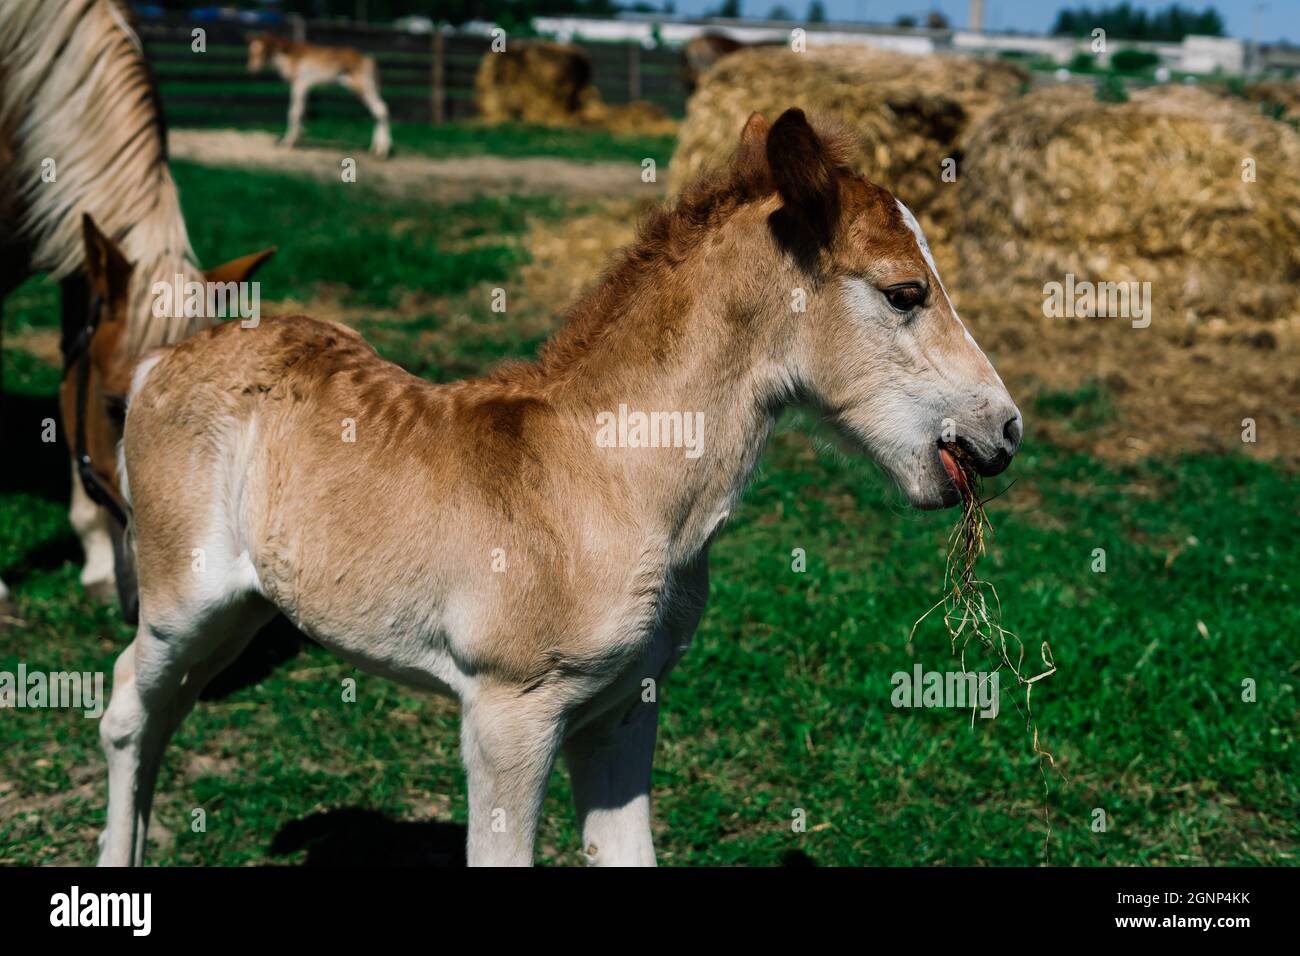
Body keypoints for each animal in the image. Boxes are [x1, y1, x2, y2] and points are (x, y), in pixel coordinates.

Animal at [97, 109, 1022, 866]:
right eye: (904, 293)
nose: (1004, 431)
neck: (612, 480)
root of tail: (159, 361)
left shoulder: (621, 711)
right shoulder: (508, 714)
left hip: (246, 612)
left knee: (168, 711)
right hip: (186, 600)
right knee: (127, 710)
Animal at [246, 33, 392, 159]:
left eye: (263, 51)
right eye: (251, 52)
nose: (252, 69)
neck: (291, 56)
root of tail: (368, 60)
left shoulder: (300, 85)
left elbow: (294, 112)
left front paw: (287, 143)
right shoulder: (304, 88)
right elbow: (302, 111)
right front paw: (298, 139)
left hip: (363, 87)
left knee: (381, 109)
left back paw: (382, 152)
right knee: (376, 112)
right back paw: (375, 149)